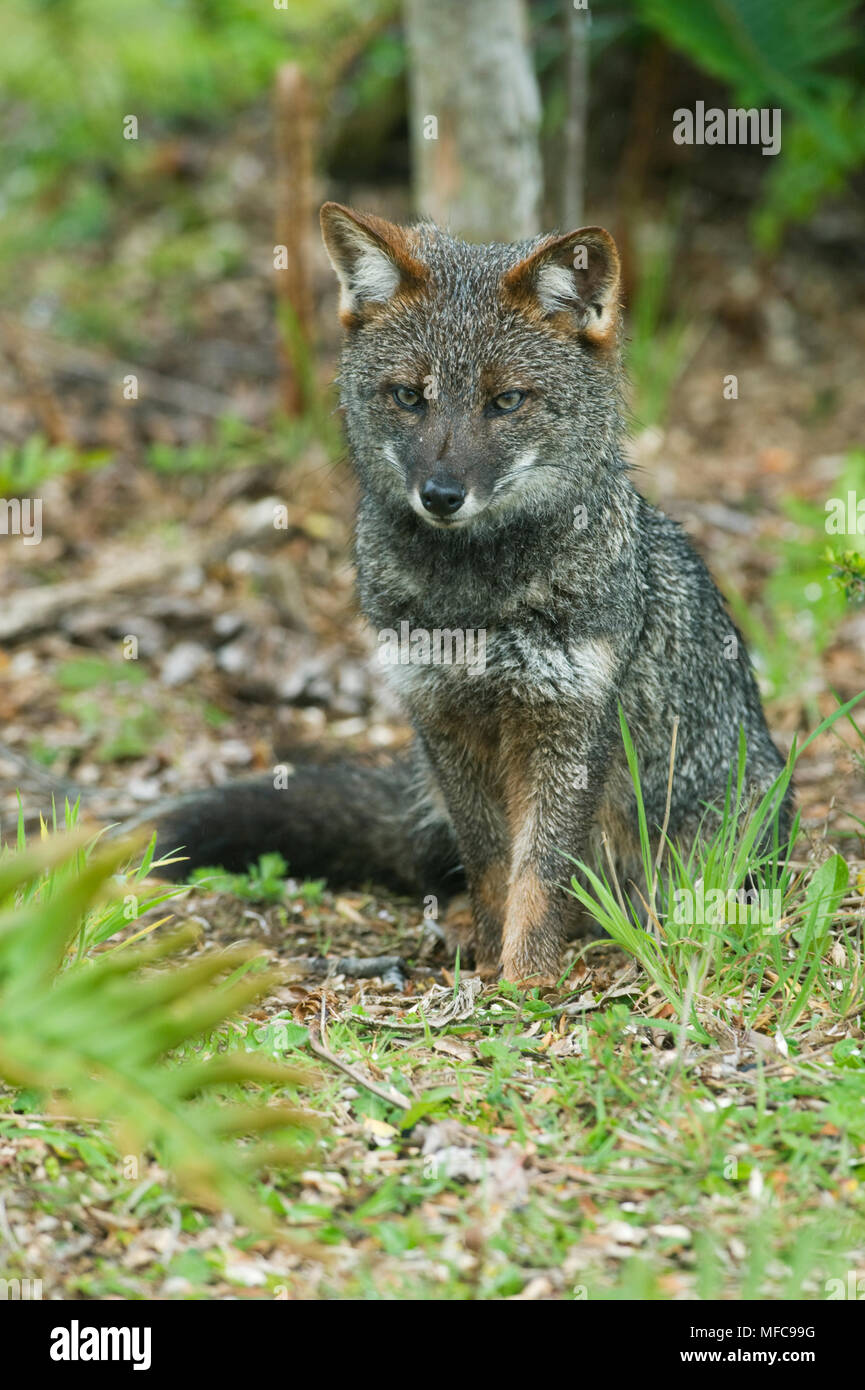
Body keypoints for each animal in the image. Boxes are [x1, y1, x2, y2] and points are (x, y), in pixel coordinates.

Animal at [140, 202, 793, 984]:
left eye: (505, 400)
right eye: (408, 397)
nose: (441, 495)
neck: (474, 605)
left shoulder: (569, 725)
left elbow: (539, 873)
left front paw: (526, 981)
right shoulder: (442, 718)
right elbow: (490, 865)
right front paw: (487, 965)